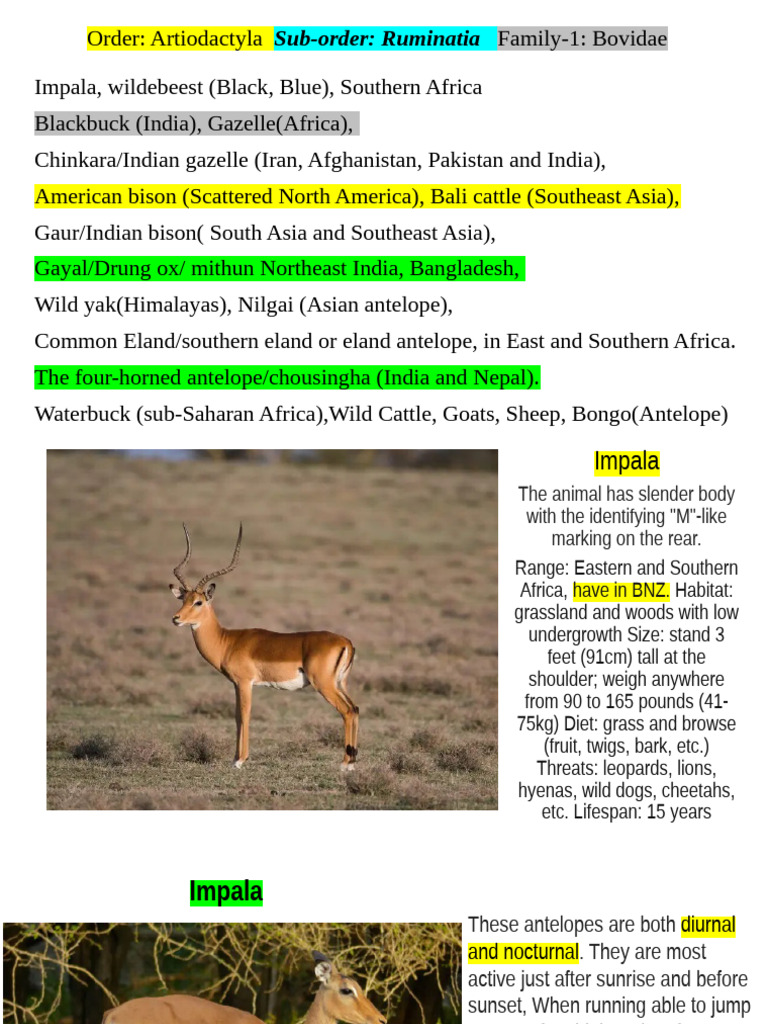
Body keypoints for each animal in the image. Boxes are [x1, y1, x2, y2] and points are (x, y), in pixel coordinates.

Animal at [169, 524, 359, 770]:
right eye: (182, 599)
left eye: (198, 602)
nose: (176, 618)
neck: (227, 640)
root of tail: (346, 642)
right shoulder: (236, 684)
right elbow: (236, 717)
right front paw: (235, 757)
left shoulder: (245, 683)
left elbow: (245, 715)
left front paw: (240, 760)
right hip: (340, 684)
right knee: (355, 709)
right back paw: (352, 760)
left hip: (324, 684)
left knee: (346, 711)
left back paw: (345, 764)